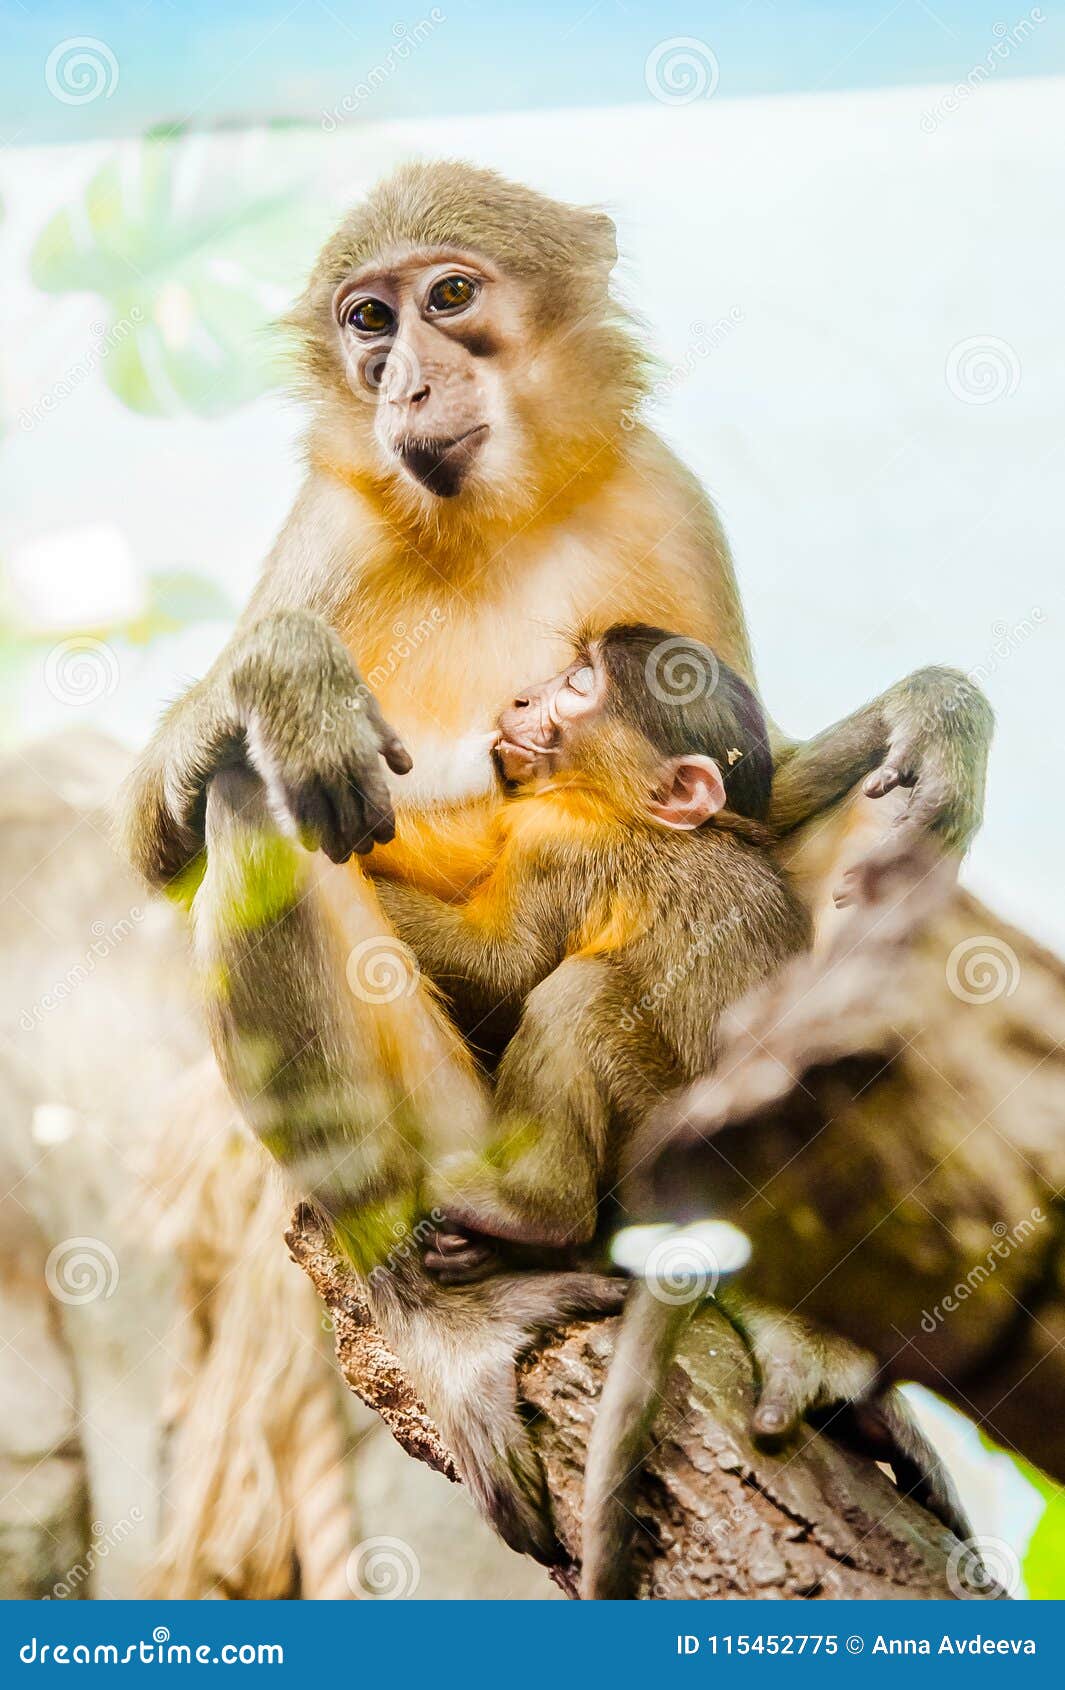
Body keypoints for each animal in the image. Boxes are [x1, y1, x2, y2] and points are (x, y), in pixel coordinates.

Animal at [121, 160, 992, 1566]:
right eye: (369, 321)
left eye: (449, 298)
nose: (404, 385)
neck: (492, 518)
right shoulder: (332, 531)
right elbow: (167, 835)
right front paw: (287, 676)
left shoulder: (663, 490)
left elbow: (766, 796)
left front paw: (942, 705)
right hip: (465, 1147)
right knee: (259, 793)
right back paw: (452, 1314)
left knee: (908, 821)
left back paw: (799, 1330)